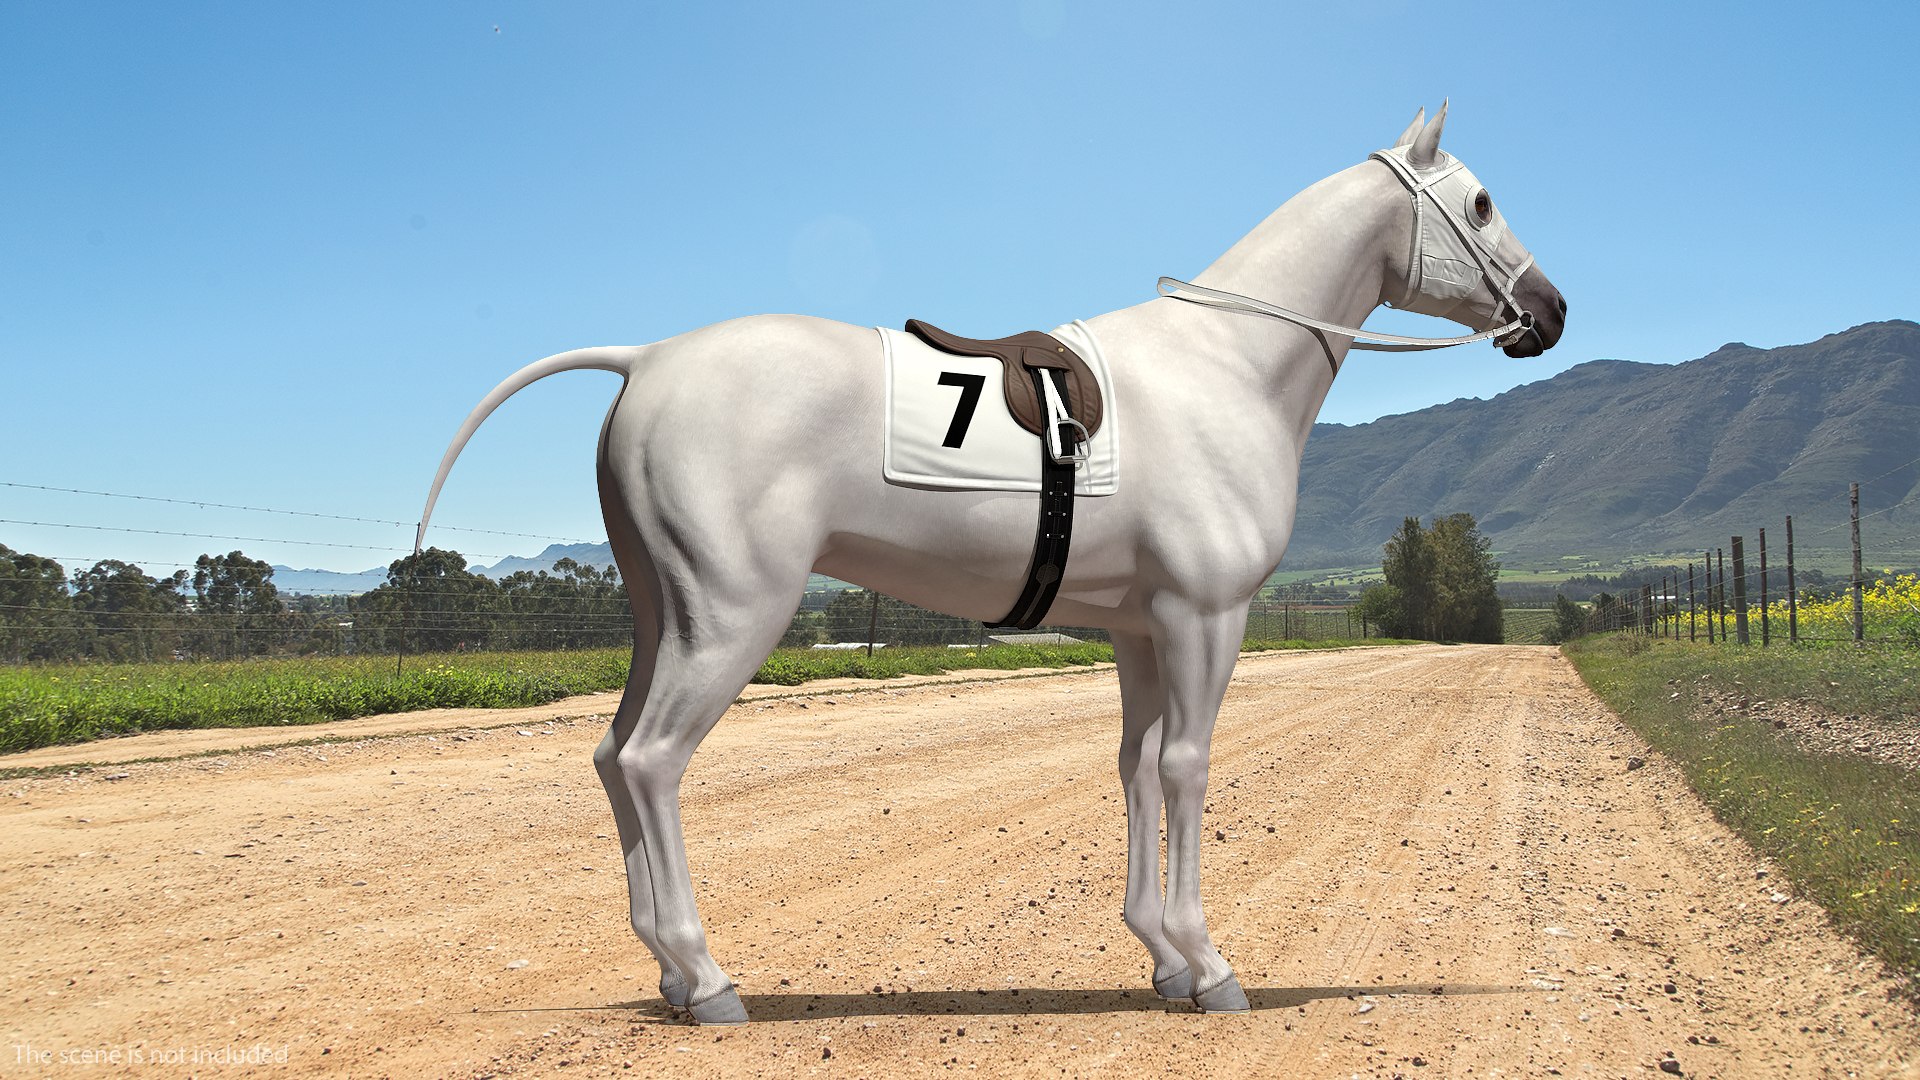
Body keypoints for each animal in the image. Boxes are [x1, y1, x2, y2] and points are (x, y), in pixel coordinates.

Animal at [415, 103, 1567, 1024]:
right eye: (1479, 202)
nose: (1548, 311)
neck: (1223, 365)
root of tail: (647, 360)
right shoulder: (1204, 618)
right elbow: (1187, 770)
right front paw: (1209, 964)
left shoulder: (1141, 627)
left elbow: (1137, 768)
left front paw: (1160, 958)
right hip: (732, 615)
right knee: (654, 762)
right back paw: (705, 978)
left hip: (665, 615)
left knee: (613, 757)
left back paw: (665, 973)